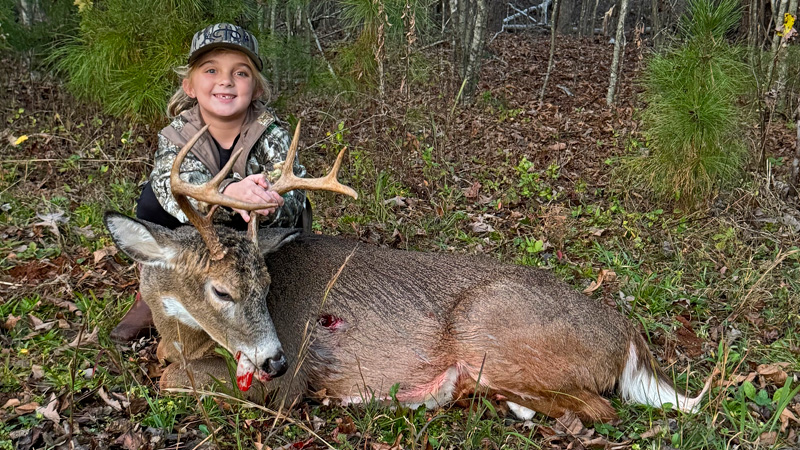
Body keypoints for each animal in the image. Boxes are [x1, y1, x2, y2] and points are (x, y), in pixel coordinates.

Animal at [104, 122, 712, 423]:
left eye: (270, 287)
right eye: (221, 289)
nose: (275, 360)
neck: (184, 338)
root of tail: (628, 334)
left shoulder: (283, 387)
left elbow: (172, 379)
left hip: (488, 327)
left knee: (595, 408)